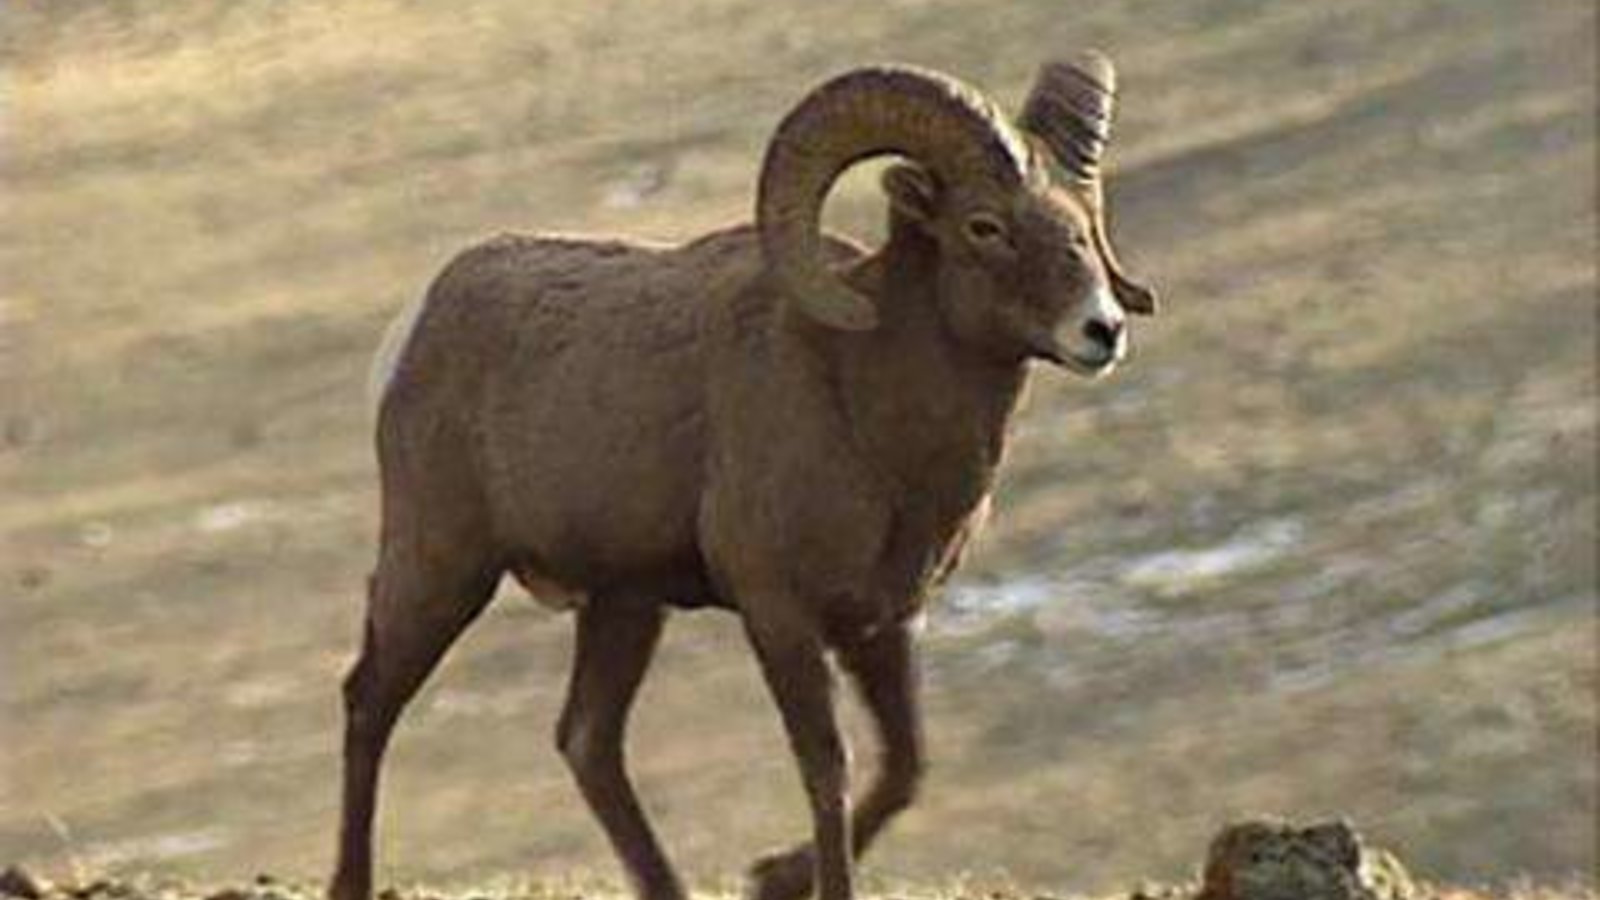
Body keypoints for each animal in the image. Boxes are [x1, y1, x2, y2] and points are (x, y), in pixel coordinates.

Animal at [329, 52, 1157, 900]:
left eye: (1084, 218)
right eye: (984, 226)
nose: (1101, 330)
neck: (863, 404)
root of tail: (411, 332)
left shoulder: (886, 622)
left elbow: (905, 766)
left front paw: (774, 876)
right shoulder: (780, 614)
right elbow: (827, 769)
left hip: (625, 604)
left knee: (588, 740)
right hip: (443, 570)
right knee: (369, 701)